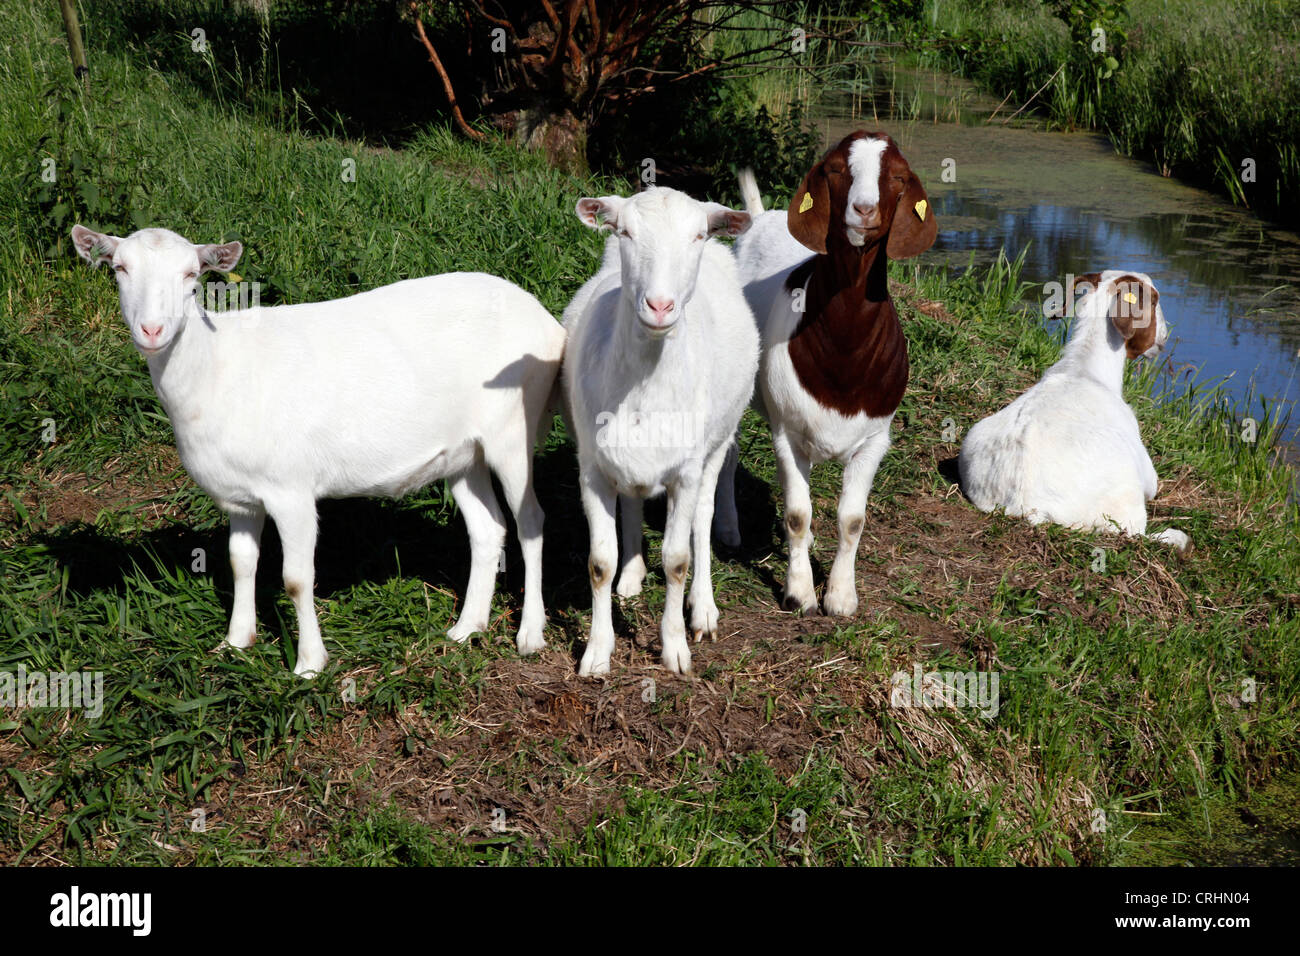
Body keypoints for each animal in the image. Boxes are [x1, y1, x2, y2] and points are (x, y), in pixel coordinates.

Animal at [71, 224, 565, 676]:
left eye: (192, 275)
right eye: (119, 268)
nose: (152, 330)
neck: (217, 368)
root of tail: (551, 326)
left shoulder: (290, 489)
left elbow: (294, 579)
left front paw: (309, 664)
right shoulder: (242, 497)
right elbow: (241, 563)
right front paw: (236, 642)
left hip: (512, 429)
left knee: (531, 520)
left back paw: (529, 634)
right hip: (465, 452)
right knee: (487, 527)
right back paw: (467, 627)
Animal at [563, 187, 757, 676]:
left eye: (698, 235)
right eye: (626, 232)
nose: (660, 306)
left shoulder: (686, 471)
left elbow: (676, 560)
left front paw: (675, 649)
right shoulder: (592, 468)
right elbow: (599, 561)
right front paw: (597, 653)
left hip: (716, 444)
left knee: (703, 515)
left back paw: (702, 608)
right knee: (632, 500)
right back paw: (632, 575)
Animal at [724, 130, 937, 616]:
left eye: (899, 176)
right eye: (836, 169)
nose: (864, 210)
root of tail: (760, 219)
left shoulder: (875, 440)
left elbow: (852, 520)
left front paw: (841, 596)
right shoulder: (786, 433)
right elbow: (797, 514)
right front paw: (800, 593)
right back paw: (726, 529)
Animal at [959, 270, 1189, 550]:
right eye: (1155, 299)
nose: (1164, 336)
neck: (1084, 370)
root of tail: (1027, 506)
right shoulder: (1145, 470)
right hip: (1124, 508)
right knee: (1139, 533)